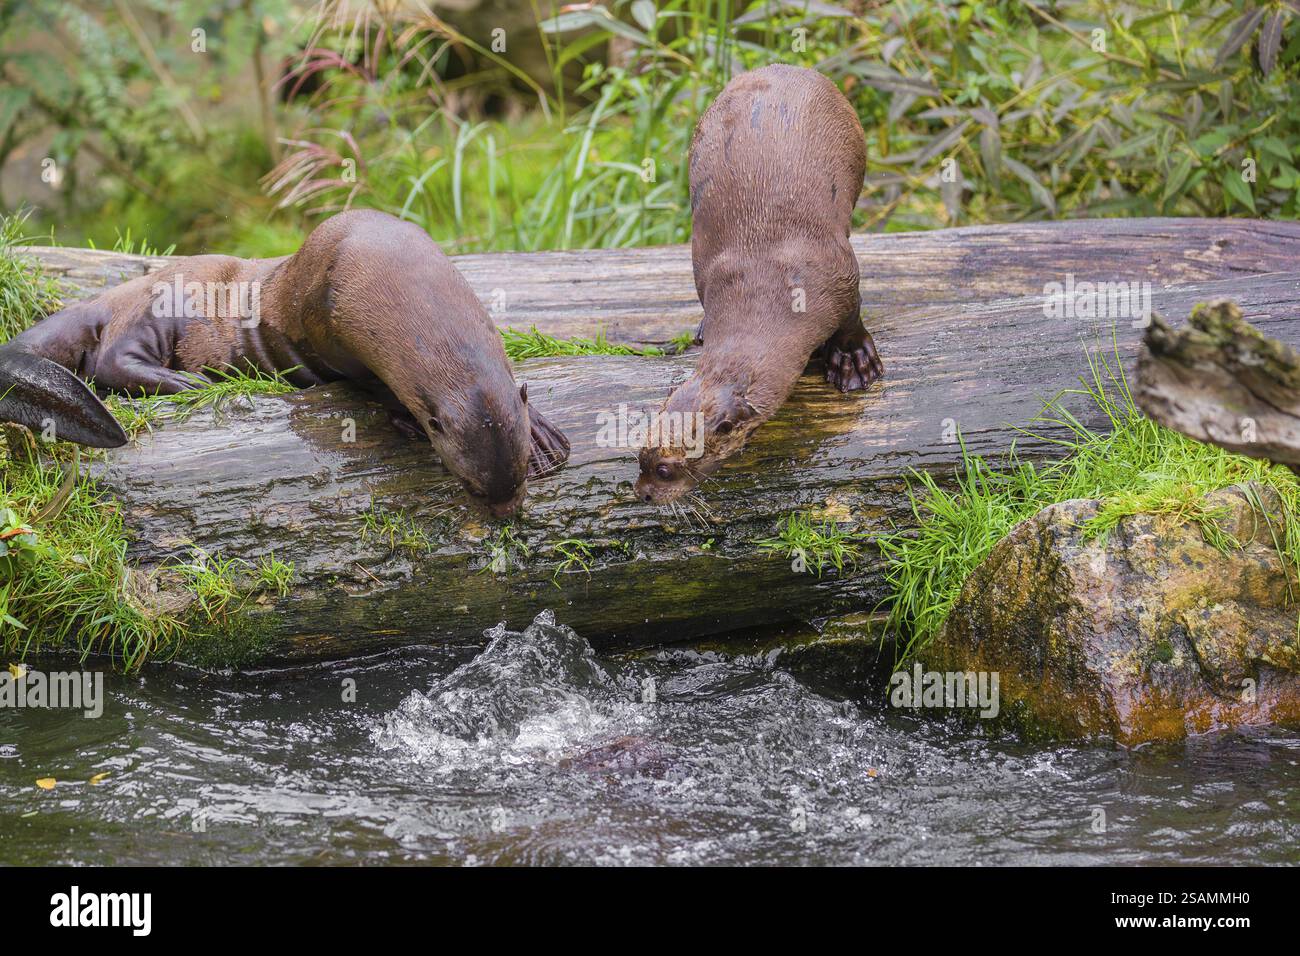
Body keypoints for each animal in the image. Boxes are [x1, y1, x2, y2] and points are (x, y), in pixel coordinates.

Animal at [0, 210, 569, 517]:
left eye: (521, 472)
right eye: (474, 487)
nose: (507, 515)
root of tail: (111, 295)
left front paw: (540, 431)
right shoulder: (332, 336)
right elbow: (372, 385)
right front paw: (402, 416)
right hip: (162, 305)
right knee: (109, 361)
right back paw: (189, 380)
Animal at [635, 65, 881, 504]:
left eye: (666, 470)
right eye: (640, 454)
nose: (641, 493)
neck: (767, 284)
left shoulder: (839, 274)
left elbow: (852, 318)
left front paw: (853, 361)